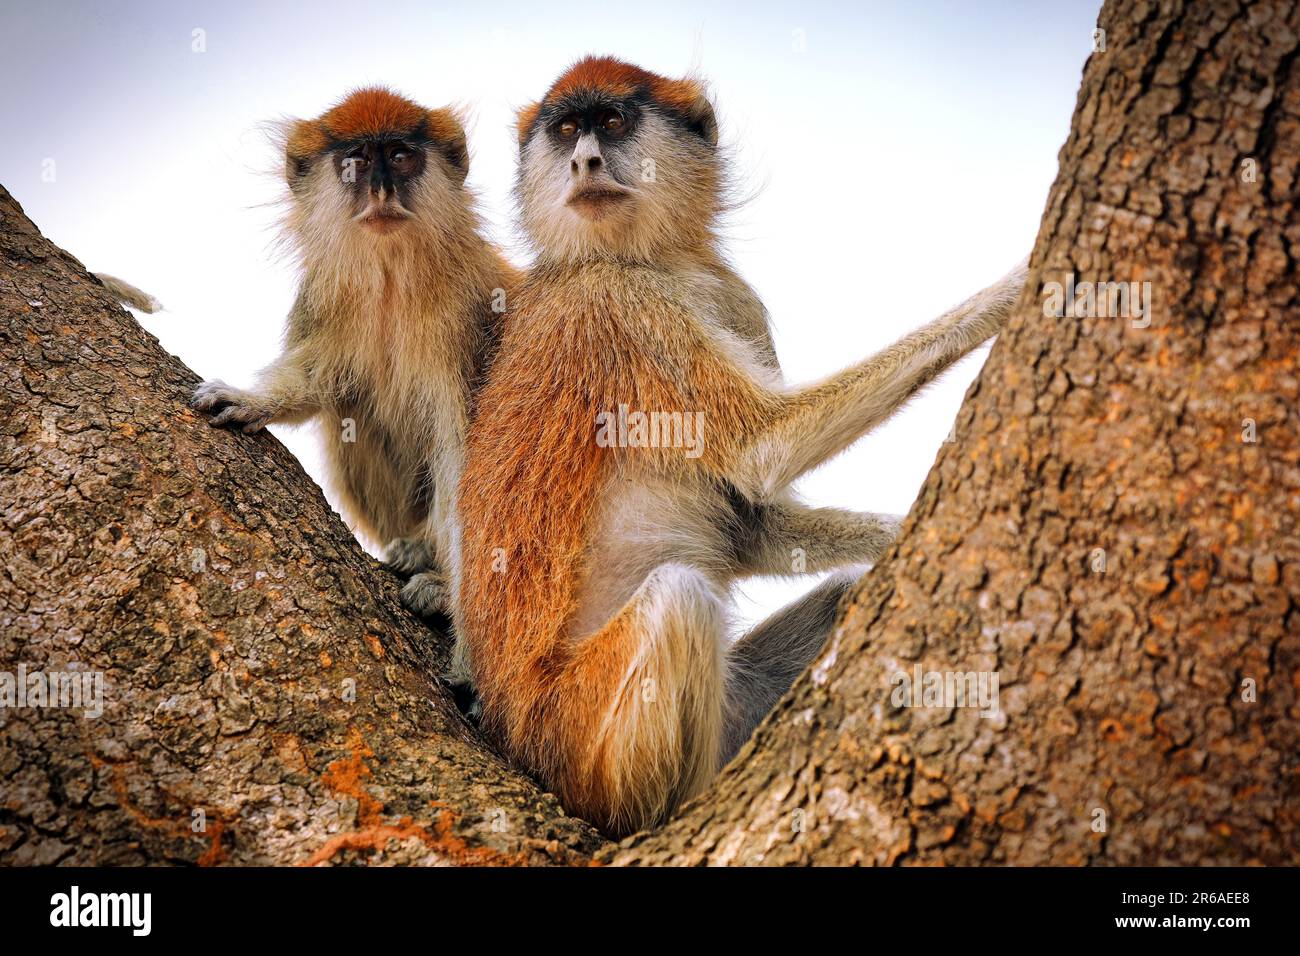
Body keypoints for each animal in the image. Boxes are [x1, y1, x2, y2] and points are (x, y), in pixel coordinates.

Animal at [191, 87, 520, 682]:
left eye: (401, 155)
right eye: (358, 160)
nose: (382, 189)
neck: (390, 273)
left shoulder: (473, 315)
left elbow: (469, 464)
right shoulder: (325, 295)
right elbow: (321, 380)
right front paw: (253, 400)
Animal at [456, 56, 1027, 836]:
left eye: (612, 122)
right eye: (566, 129)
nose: (584, 162)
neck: (655, 260)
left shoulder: (733, 301)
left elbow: (746, 520)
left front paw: (899, 531)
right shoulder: (619, 309)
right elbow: (763, 448)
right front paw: (1015, 290)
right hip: (575, 735)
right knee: (680, 597)